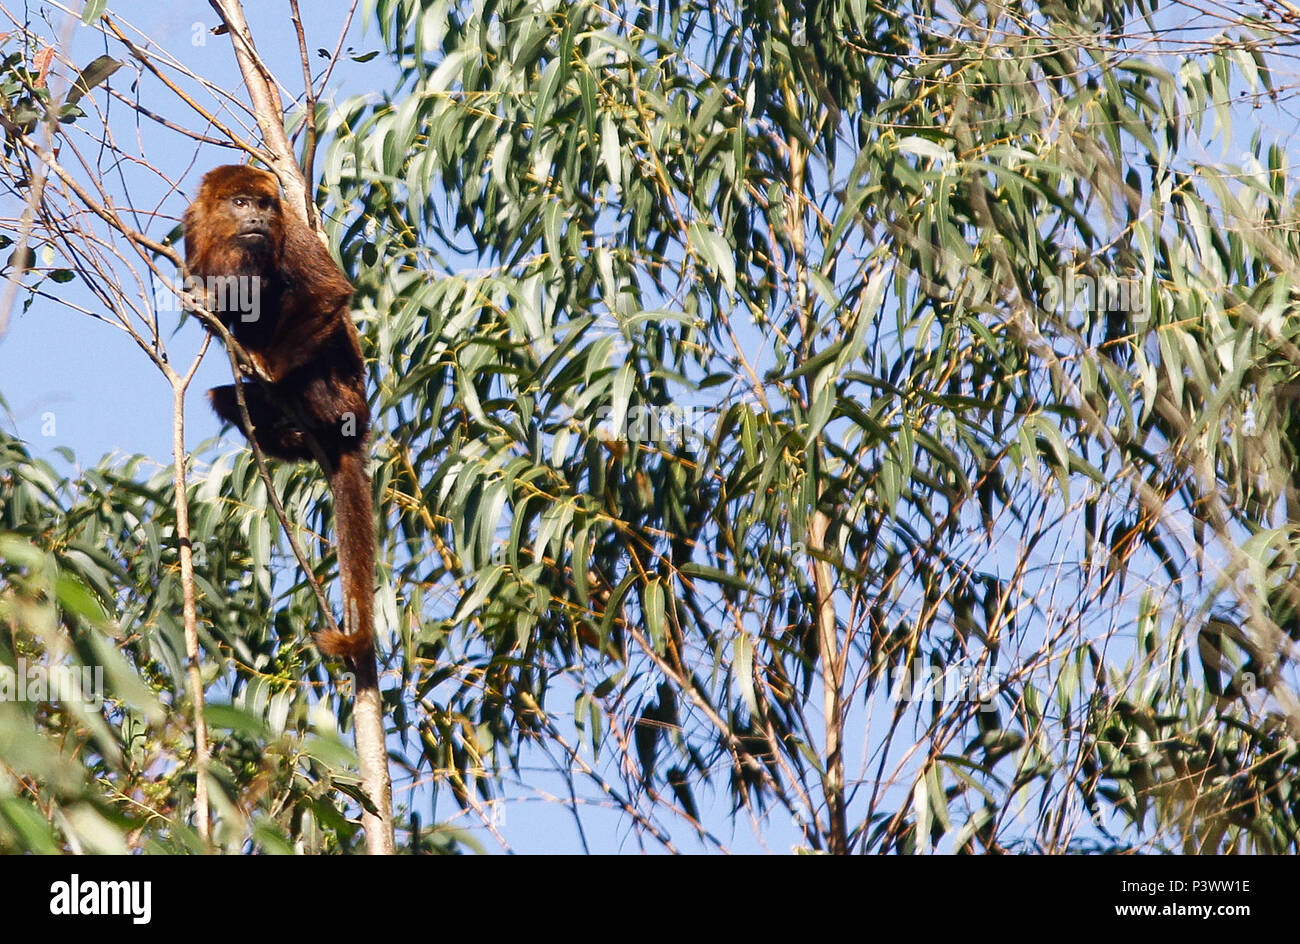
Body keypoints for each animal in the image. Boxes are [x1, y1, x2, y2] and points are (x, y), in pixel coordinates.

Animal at [183, 164, 374, 667]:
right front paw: (202, 300)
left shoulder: (290, 229)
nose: (258, 220)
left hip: (341, 395)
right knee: (224, 397)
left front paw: (268, 365)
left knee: (280, 290)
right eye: (240, 203)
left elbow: (328, 292)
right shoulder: (191, 230)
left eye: (265, 205)